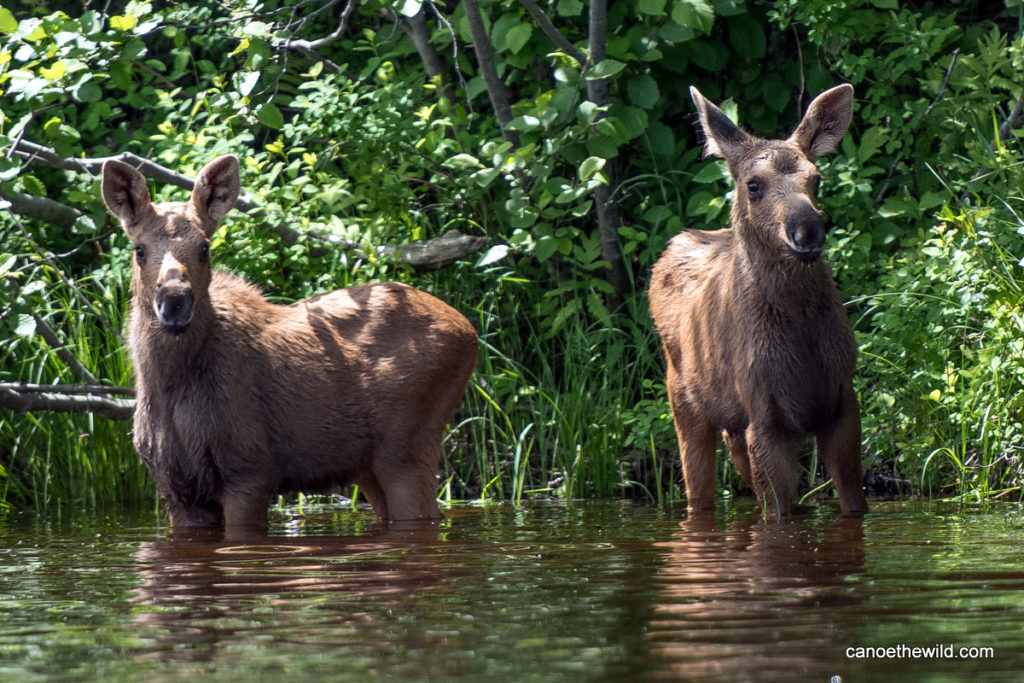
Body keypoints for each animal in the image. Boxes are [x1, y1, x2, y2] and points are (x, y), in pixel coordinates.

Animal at [102, 155, 478, 532]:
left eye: (204, 248)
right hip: (369, 467)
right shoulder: (175, 488)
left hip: (406, 449)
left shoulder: (249, 472)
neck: (170, 384)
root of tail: (470, 330)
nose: (175, 300)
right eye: (139, 250)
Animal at [648, 84, 867, 519]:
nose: (807, 229)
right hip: (684, 401)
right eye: (753, 185)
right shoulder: (765, 419)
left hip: (732, 420)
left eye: (816, 178)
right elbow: (779, 515)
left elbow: (852, 503)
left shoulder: (842, 402)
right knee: (697, 493)